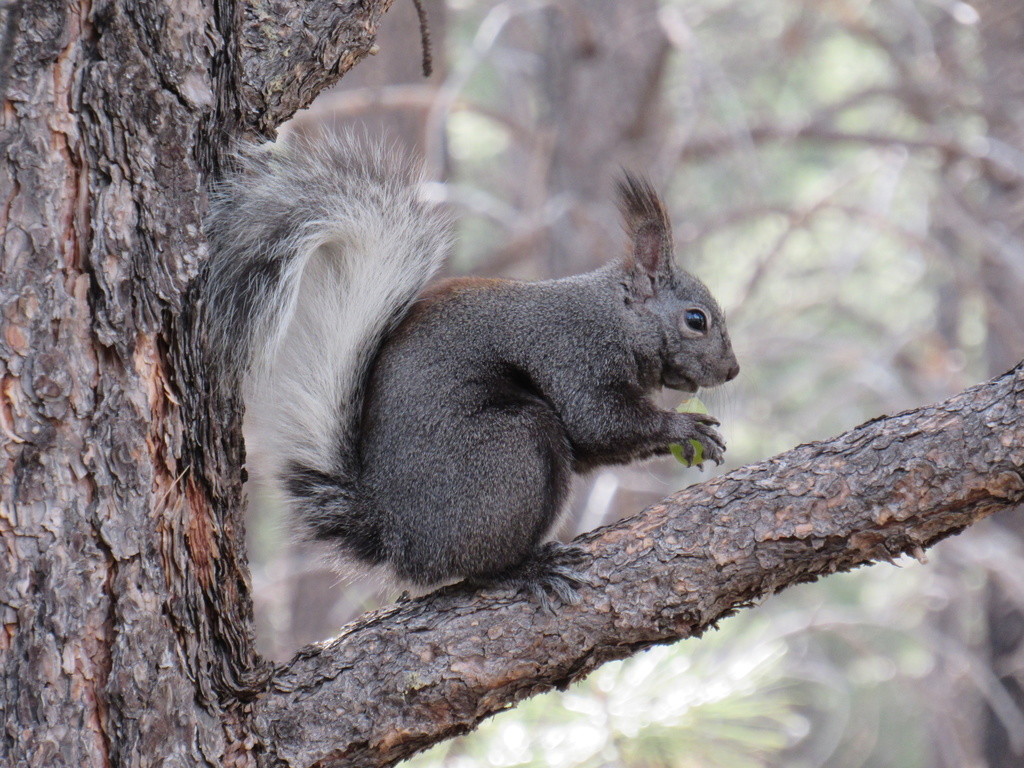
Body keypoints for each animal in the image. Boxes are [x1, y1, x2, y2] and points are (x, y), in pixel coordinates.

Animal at [203, 134, 739, 604]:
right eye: (696, 320)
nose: (733, 371)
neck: (616, 319)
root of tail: (400, 539)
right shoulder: (574, 356)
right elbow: (600, 423)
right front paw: (685, 428)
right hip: (510, 449)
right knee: (477, 567)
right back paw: (526, 569)